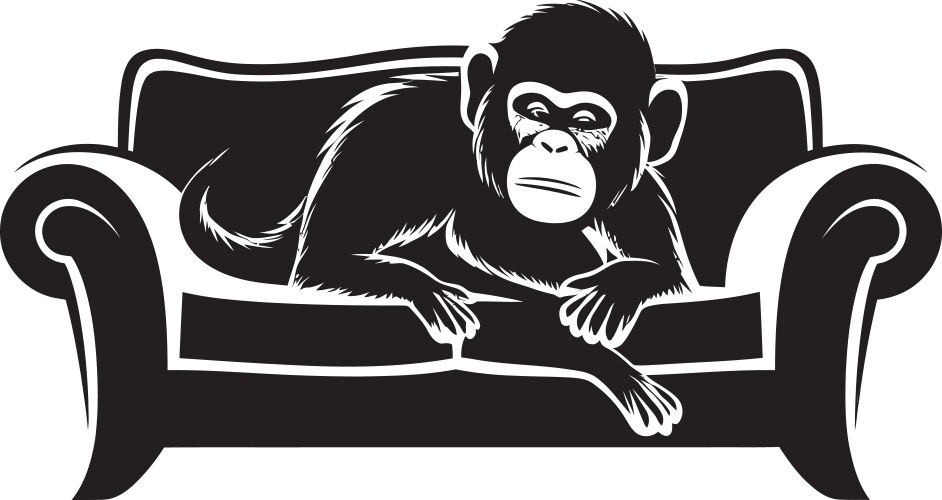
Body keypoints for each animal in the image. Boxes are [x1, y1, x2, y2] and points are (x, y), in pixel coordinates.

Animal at [182, 3, 694, 436]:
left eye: (587, 121)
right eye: (534, 110)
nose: (554, 144)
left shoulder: (643, 199)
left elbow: (675, 280)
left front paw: (620, 286)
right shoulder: (384, 137)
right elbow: (327, 260)